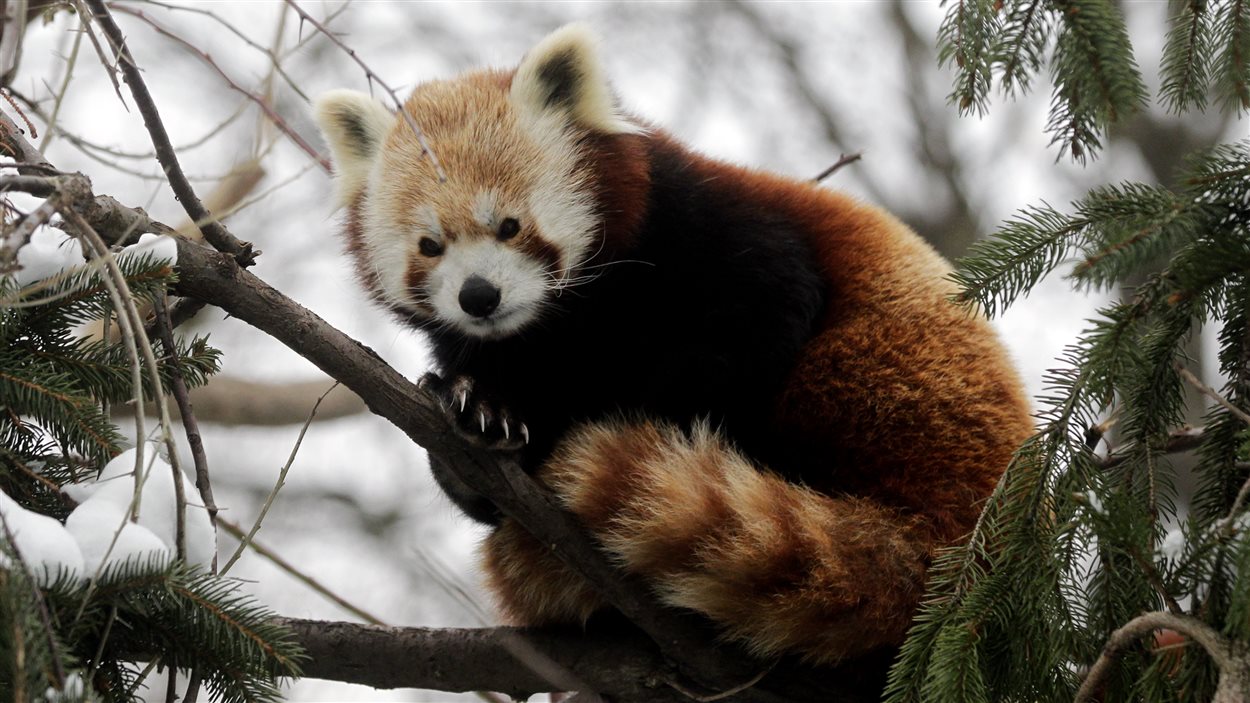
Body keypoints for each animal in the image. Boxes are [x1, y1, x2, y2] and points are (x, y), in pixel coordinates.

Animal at [312, 24, 1032, 665]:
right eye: (430, 245)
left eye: (510, 225)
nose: (479, 296)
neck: (562, 325)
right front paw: (477, 415)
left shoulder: (713, 236)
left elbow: (752, 329)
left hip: (893, 387)